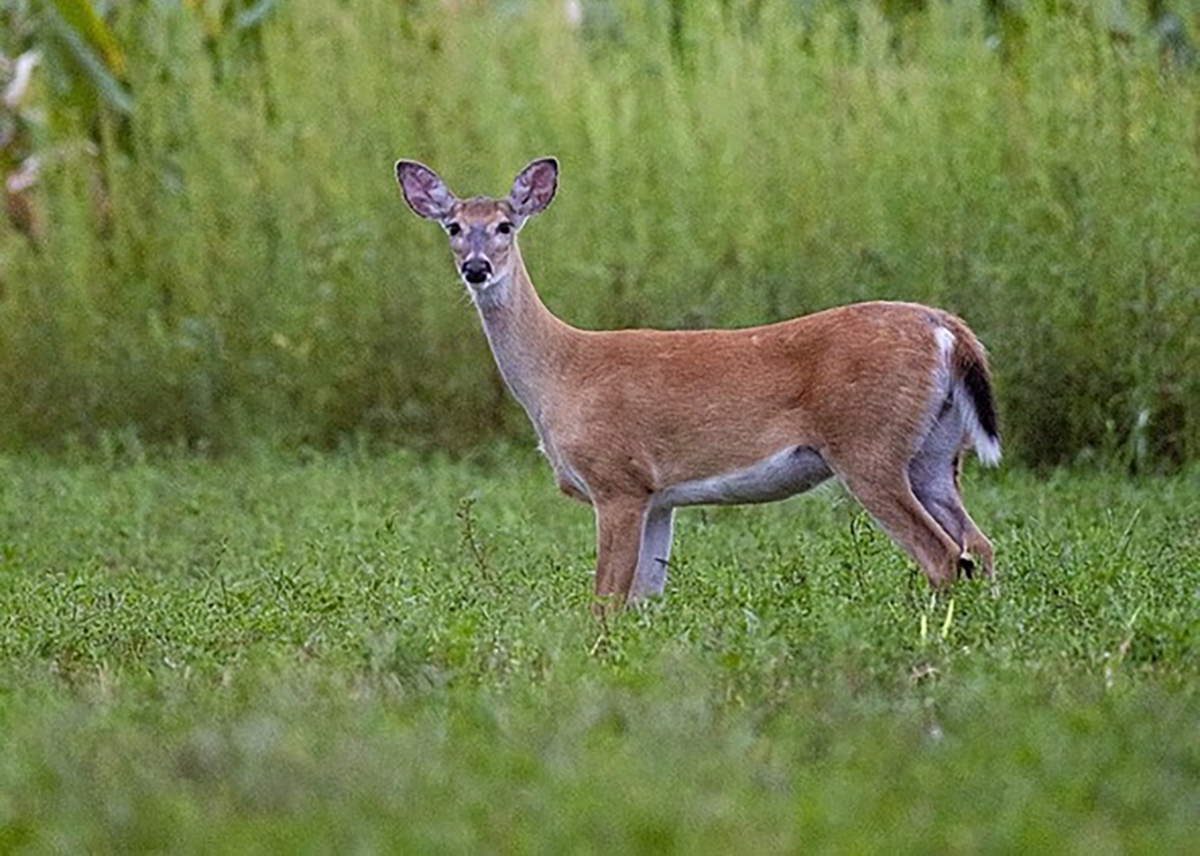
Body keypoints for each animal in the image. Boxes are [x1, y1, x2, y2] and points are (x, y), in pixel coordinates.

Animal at [396, 157, 1000, 610]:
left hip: (867, 444)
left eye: (505, 225)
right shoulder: (660, 498)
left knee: (941, 555)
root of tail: (946, 329)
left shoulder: (618, 480)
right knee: (979, 545)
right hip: (935, 452)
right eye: (453, 227)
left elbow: (605, 600)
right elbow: (644, 599)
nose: (476, 267)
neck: (560, 372)